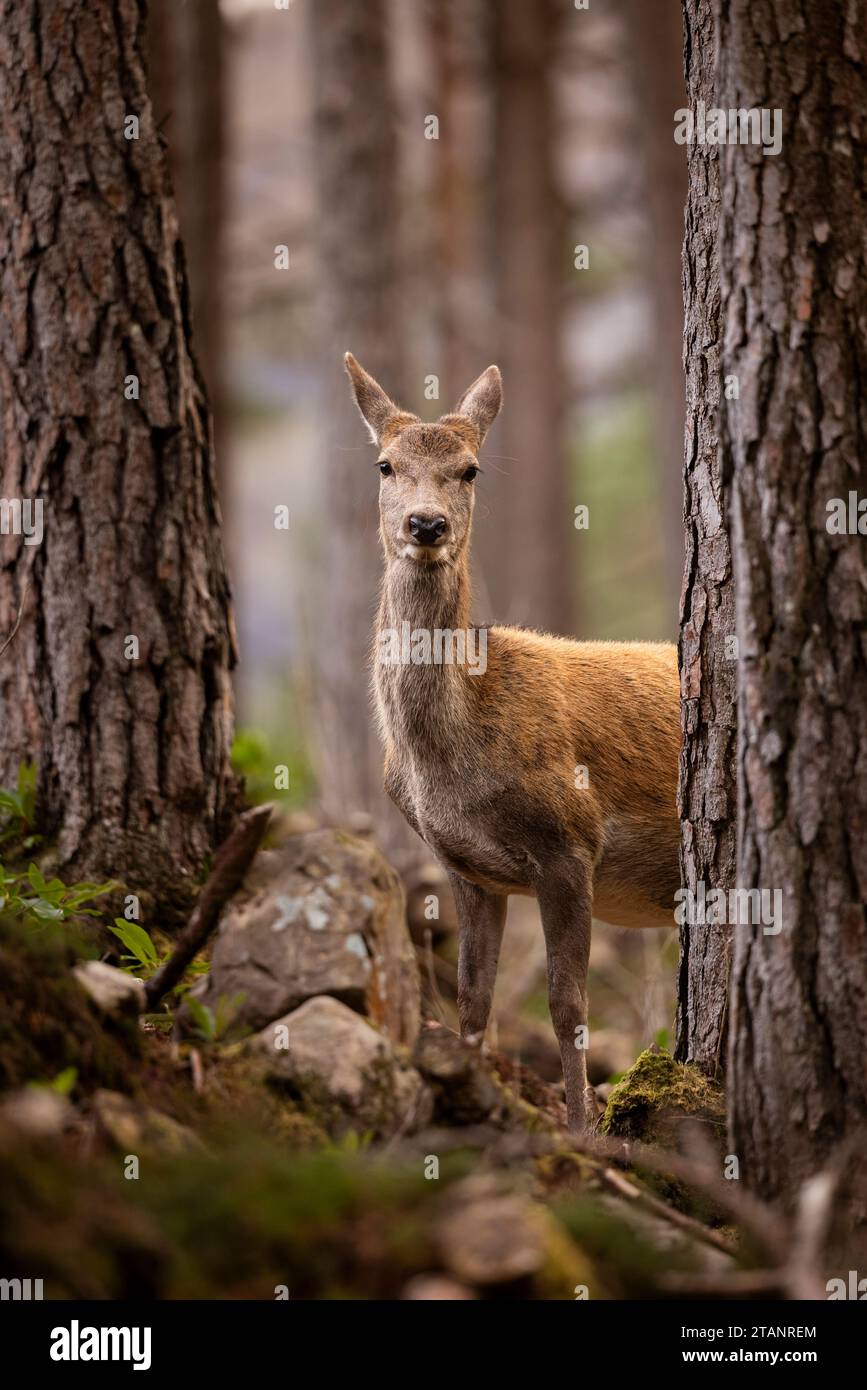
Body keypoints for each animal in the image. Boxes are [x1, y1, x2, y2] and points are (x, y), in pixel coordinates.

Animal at [344, 352, 681, 1130]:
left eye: (469, 469)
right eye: (384, 464)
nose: (426, 523)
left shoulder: (571, 841)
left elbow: (568, 1006)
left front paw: (582, 1130)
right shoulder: (465, 867)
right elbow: (474, 998)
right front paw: (465, 1091)